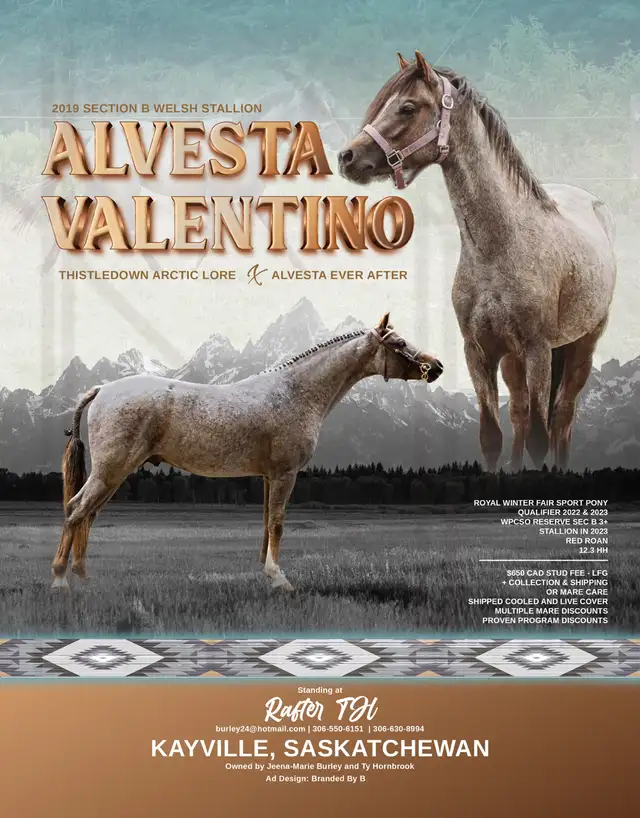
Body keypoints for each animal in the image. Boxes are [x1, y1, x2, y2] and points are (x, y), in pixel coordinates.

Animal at [51, 313, 443, 591]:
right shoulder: (285, 473)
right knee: (76, 510)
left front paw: (266, 575)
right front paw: (280, 580)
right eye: (400, 342)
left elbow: (267, 524)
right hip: (110, 471)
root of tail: (102, 390)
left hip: (115, 473)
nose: (436, 366)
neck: (295, 391)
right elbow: (278, 523)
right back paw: (59, 580)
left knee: (87, 515)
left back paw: (84, 578)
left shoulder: (269, 476)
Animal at [338, 51, 616, 472]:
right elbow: (492, 437)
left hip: (581, 345)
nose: (348, 157)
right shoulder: (479, 351)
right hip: (514, 360)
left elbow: (539, 439)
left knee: (562, 420)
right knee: (520, 414)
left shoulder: (537, 350)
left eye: (408, 107)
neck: (498, 251)